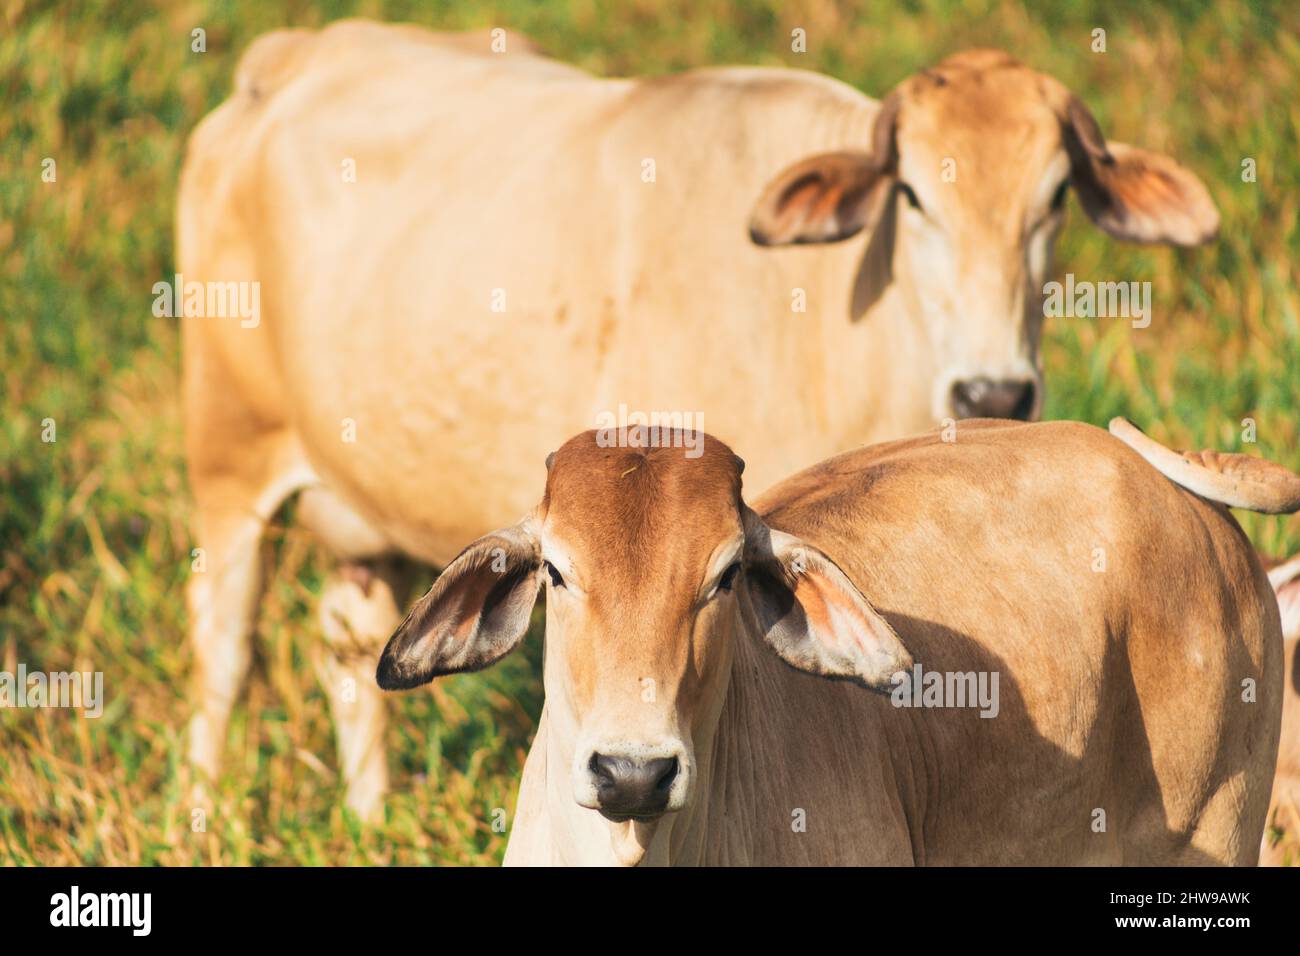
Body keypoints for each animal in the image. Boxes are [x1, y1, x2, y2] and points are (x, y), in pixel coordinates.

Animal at [178, 20, 1219, 816]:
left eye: (1056, 198)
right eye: (915, 195)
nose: (994, 394)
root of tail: (293, 54)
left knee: (352, 648)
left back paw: (370, 813)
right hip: (228, 456)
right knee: (224, 651)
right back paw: (201, 814)